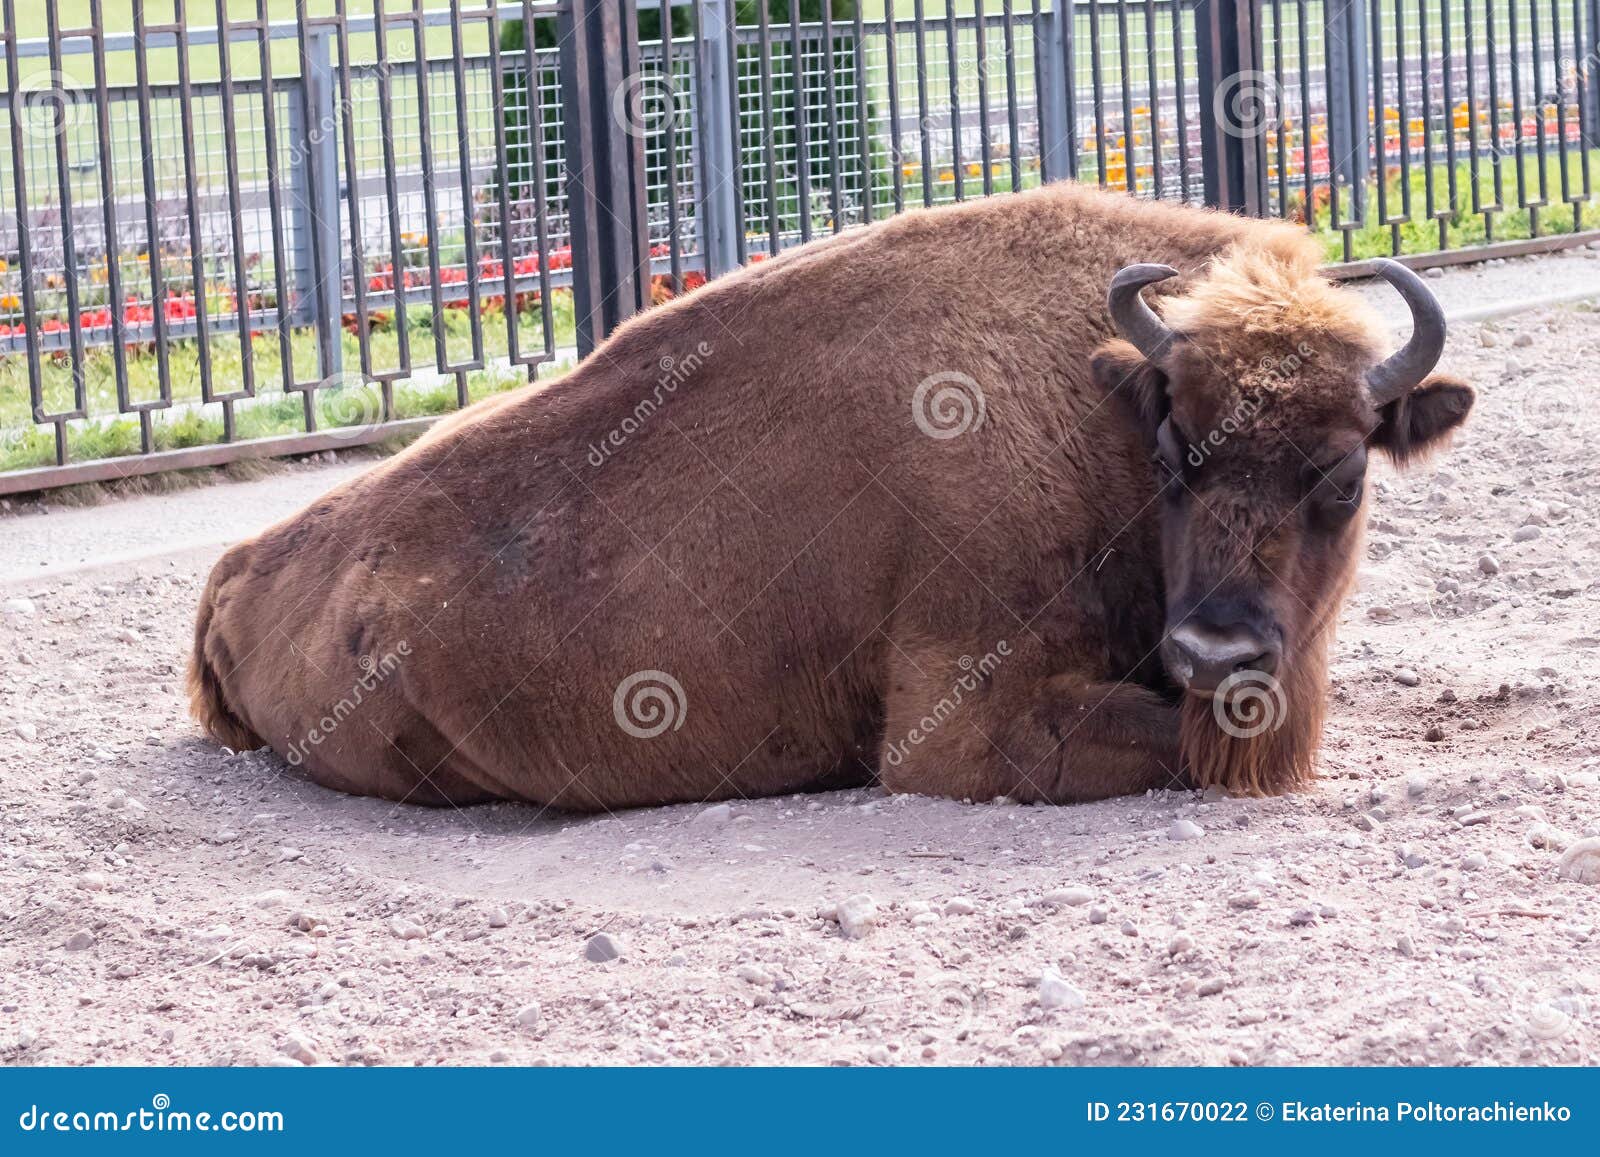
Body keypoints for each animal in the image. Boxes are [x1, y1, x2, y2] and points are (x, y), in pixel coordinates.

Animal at [190, 183, 1472, 808]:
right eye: (1170, 453)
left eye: (1343, 472)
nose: (1217, 652)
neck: (1099, 393)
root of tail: (237, 564)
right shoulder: (959, 733)